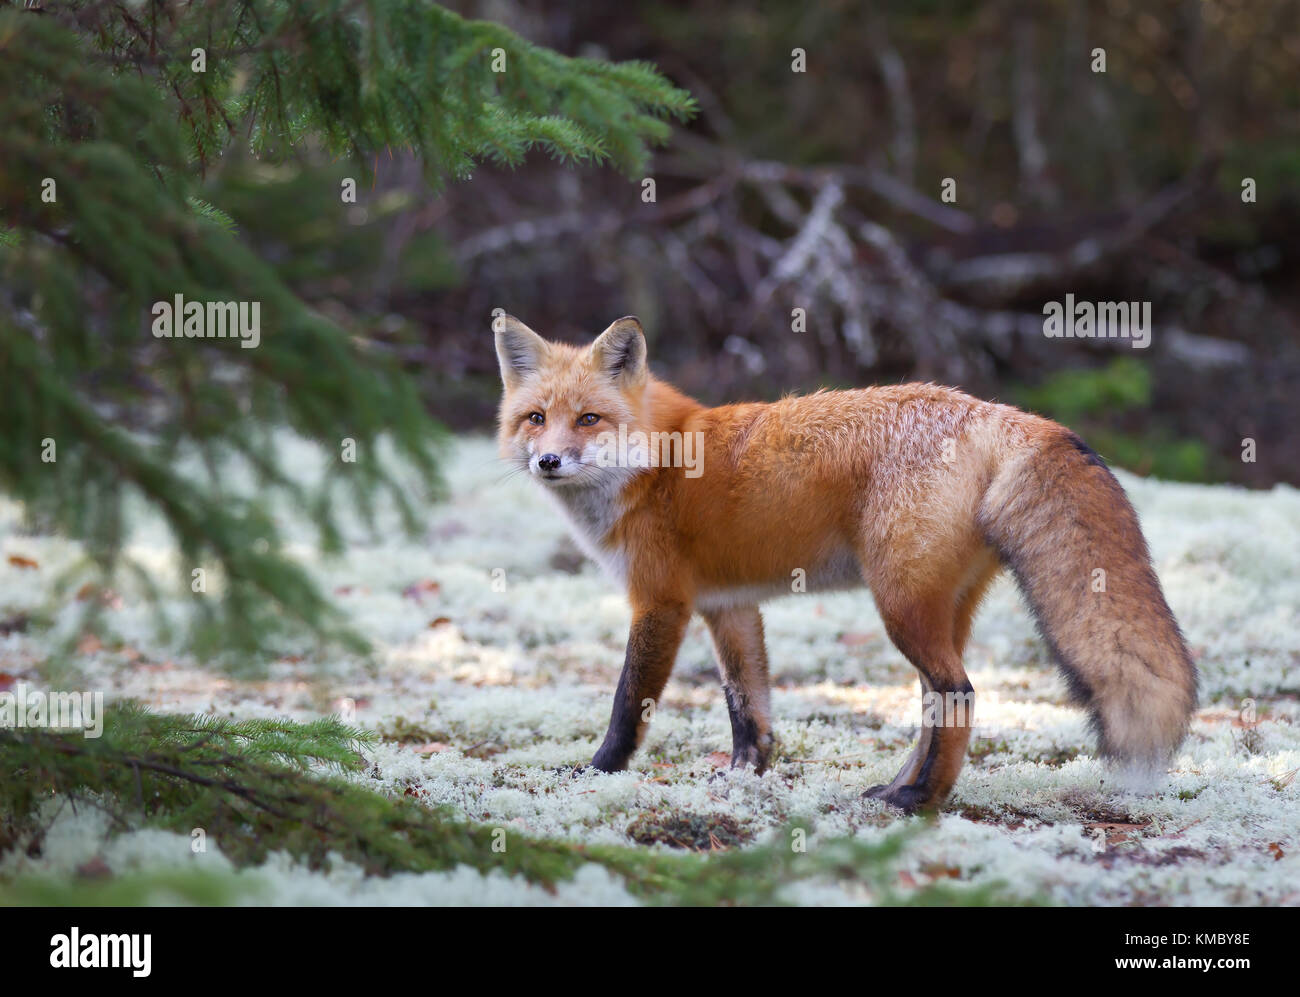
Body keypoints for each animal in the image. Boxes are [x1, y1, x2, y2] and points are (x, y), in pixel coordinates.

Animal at [494, 314, 1197, 812]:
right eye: (536, 419)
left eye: (589, 419)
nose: (548, 461)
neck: (657, 461)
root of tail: (996, 411)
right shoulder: (728, 606)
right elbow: (748, 708)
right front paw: (744, 779)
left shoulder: (661, 602)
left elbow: (626, 703)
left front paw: (596, 771)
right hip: (936, 609)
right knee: (935, 702)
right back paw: (900, 787)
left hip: (899, 606)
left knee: (959, 694)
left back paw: (918, 801)